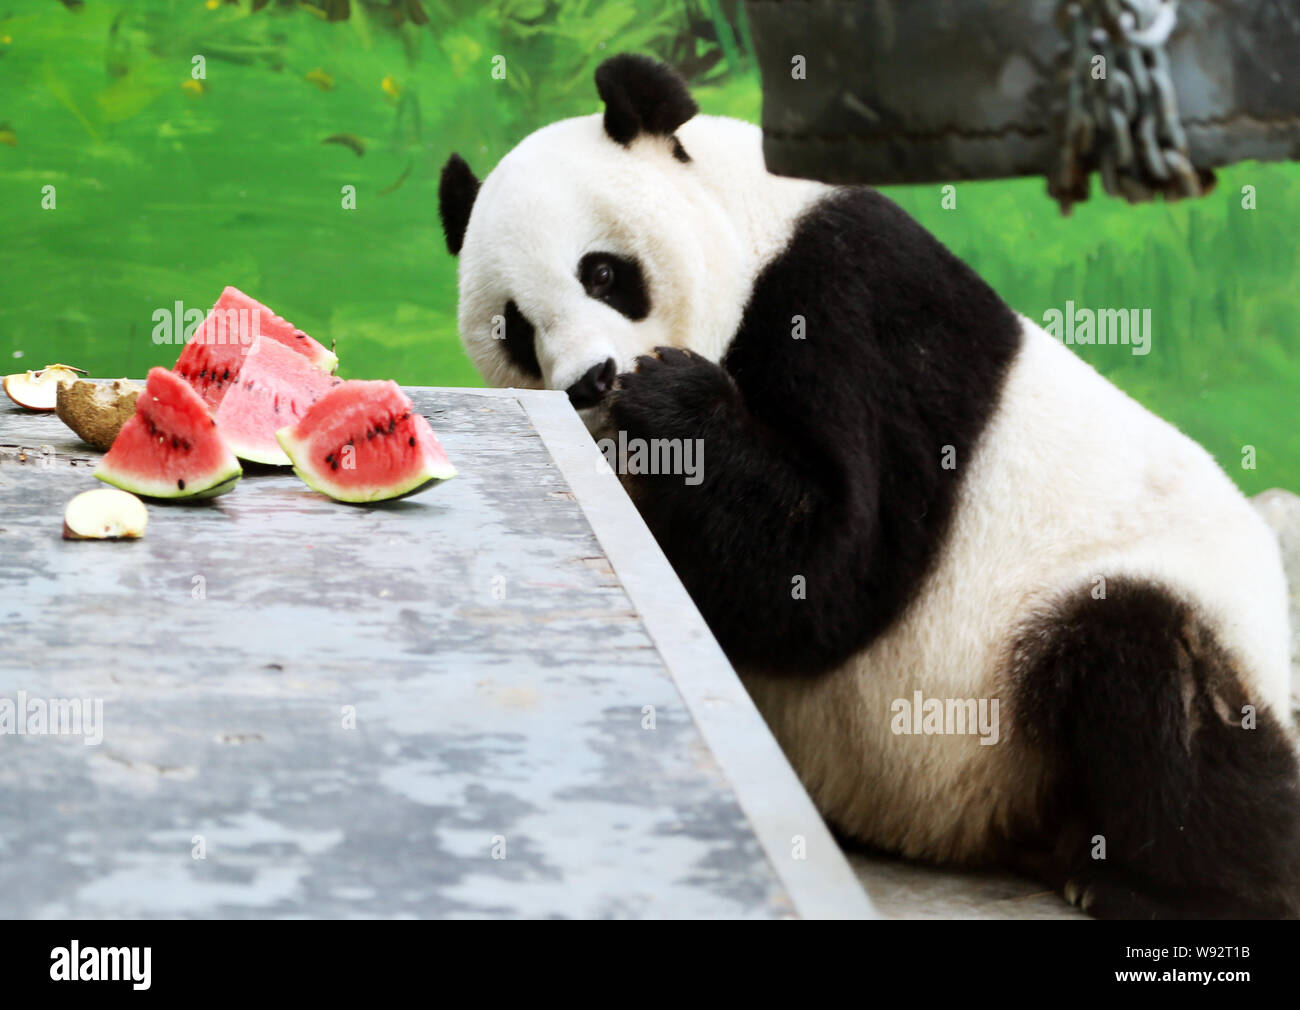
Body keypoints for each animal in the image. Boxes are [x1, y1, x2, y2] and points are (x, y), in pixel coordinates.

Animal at [438, 54, 1300, 919]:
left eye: (604, 272)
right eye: (516, 328)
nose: (593, 381)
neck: (752, 227)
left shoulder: (854, 305)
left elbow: (836, 569)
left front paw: (673, 398)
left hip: (1141, 615)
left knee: (1149, 674)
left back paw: (1153, 883)